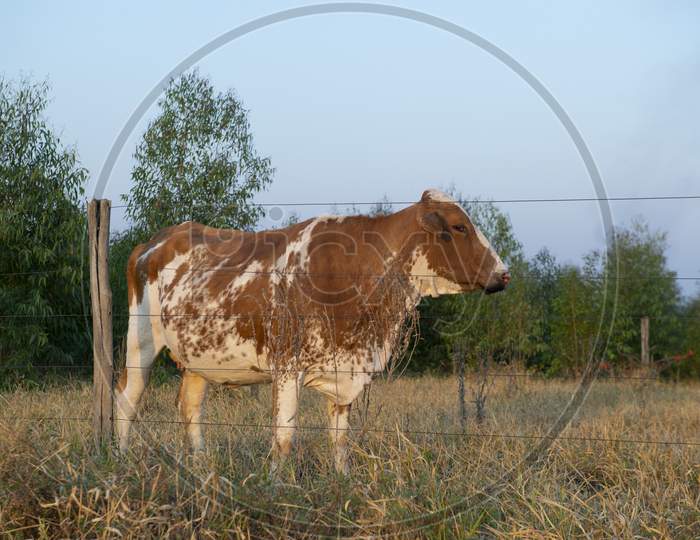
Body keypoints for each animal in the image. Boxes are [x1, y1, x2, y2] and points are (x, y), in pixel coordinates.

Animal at [115, 189, 509, 473]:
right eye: (459, 227)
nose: (504, 273)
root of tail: (161, 237)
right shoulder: (288, 368)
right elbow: (284, 438)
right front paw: (273, 488)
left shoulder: (347, 369)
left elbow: (340, 441)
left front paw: (342, 484)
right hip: (141, 341)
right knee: (127, 399)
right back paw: (120, 463)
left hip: (198, 357)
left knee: (191, 408)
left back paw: (201, 470)